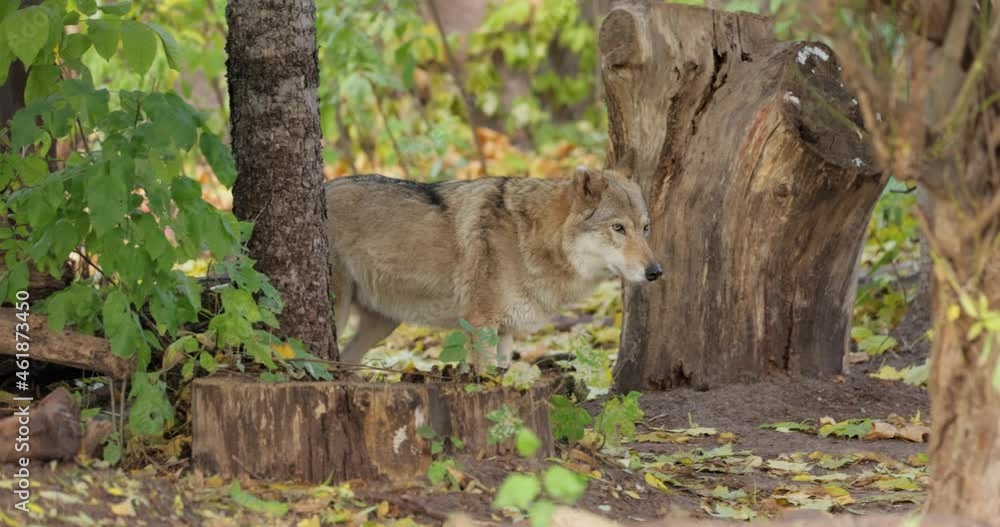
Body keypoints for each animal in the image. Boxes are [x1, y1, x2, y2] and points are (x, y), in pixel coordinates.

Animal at [324, 156, 661, 369]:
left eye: (645, 228)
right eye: (618, 228)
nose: (656, 272)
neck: (529, 237)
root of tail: (324, 185)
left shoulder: (506, 332)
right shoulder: (480, 326)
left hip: (382, 324)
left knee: (346, 362)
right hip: (343, 313)